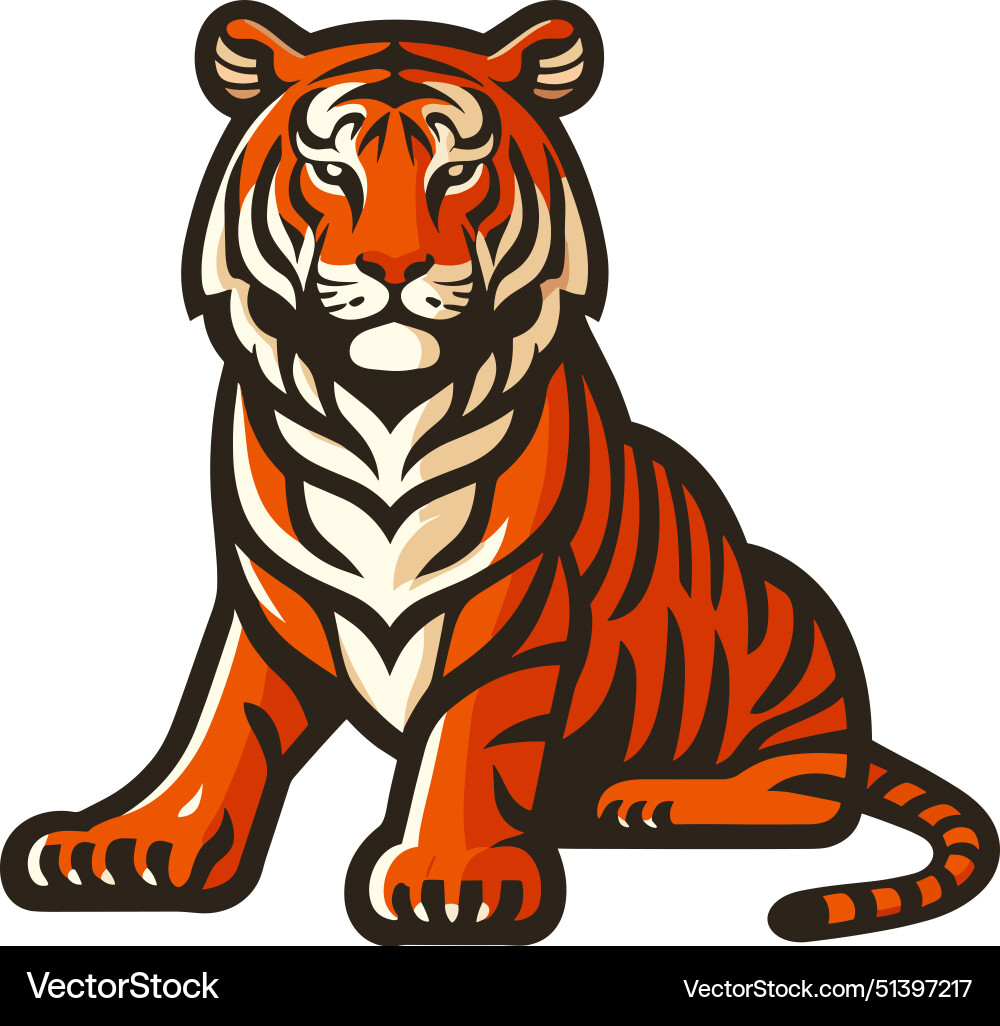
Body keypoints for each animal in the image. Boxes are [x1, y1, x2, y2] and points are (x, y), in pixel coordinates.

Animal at [2, 0, 996, 945]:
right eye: (332, 169)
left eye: (455, 172)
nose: (392, 268)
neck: (383, 406)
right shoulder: (271, 597)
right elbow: (220, 717)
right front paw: (136, 841)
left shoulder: (516, 602)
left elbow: (469, 729)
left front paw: (449, 880)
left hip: (786, 624)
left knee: (813, 794)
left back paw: (651, 800)